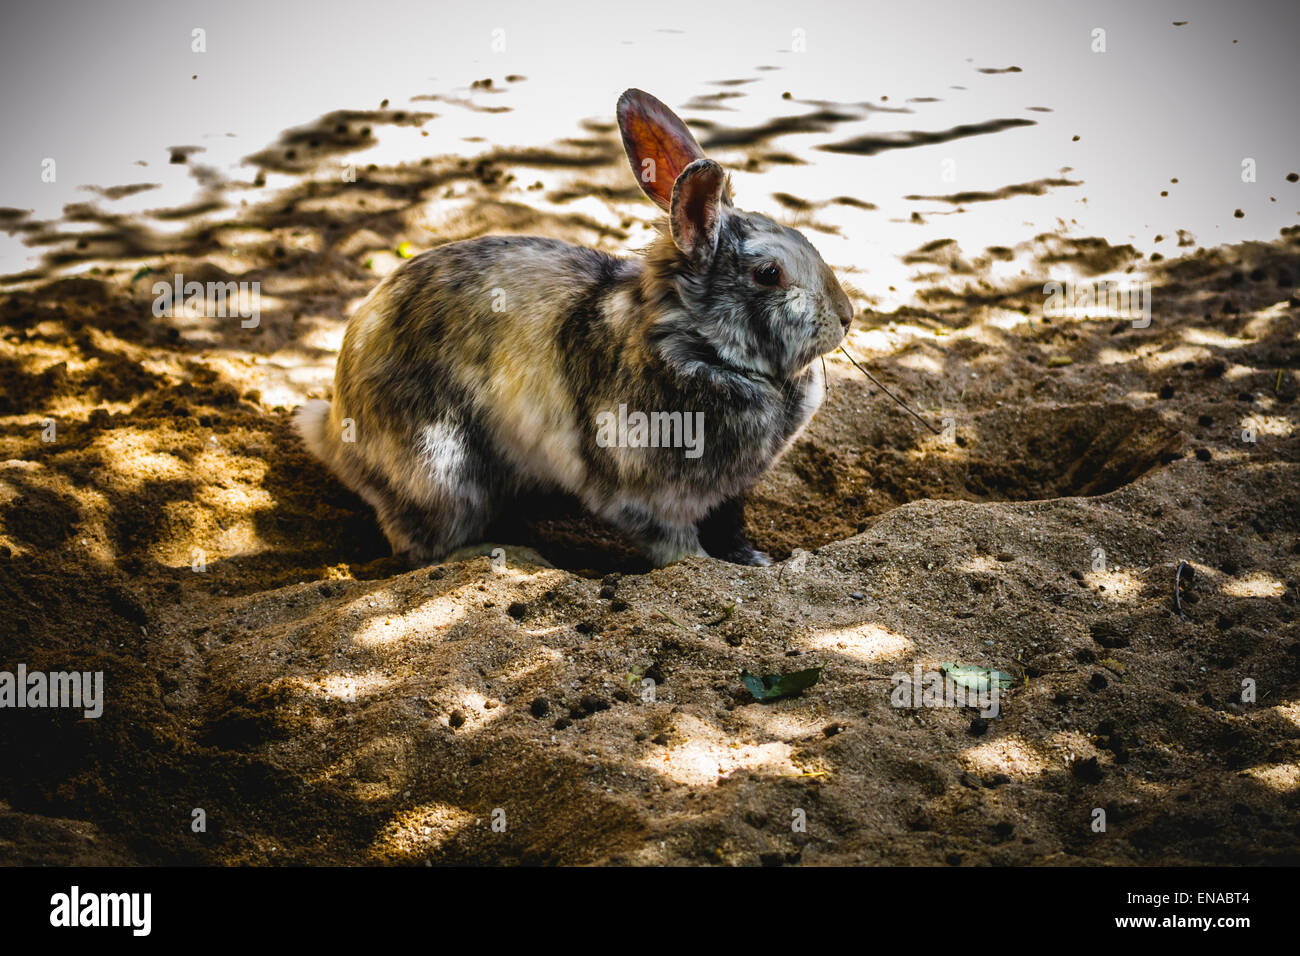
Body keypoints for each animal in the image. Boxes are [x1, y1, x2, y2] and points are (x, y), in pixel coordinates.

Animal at [296, 88, 853, 568]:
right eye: (769, 274)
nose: (847, 316)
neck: (695, 345)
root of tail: (336, 426)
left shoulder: (730, 496)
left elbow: (730, 529)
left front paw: (754, 561)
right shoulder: (644, 497)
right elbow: (676, 546)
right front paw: (699, 566)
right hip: (441, 467)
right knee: (420, 544)